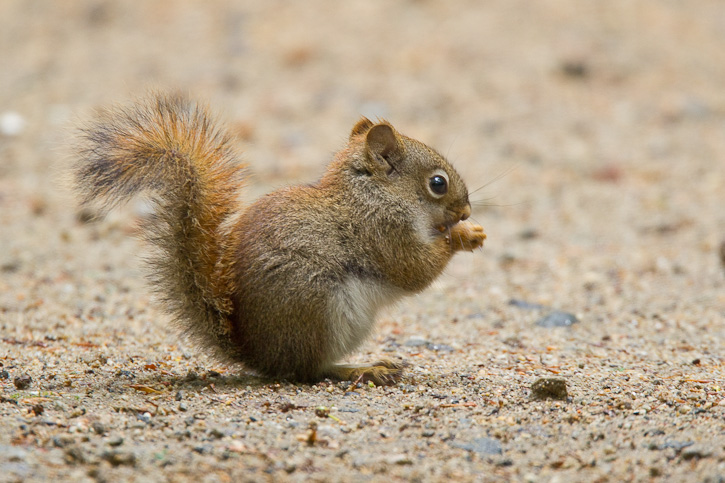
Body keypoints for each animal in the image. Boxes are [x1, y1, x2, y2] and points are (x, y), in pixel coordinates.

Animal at [73, 93, 486, 385]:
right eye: (437, 183)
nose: (466, 211)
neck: (370, 194)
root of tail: (258, 354)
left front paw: (469, 231)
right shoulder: (383, 232)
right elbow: (415, 271)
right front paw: (461, 237)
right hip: (320, 310)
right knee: (309, 370)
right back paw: (362, 369)